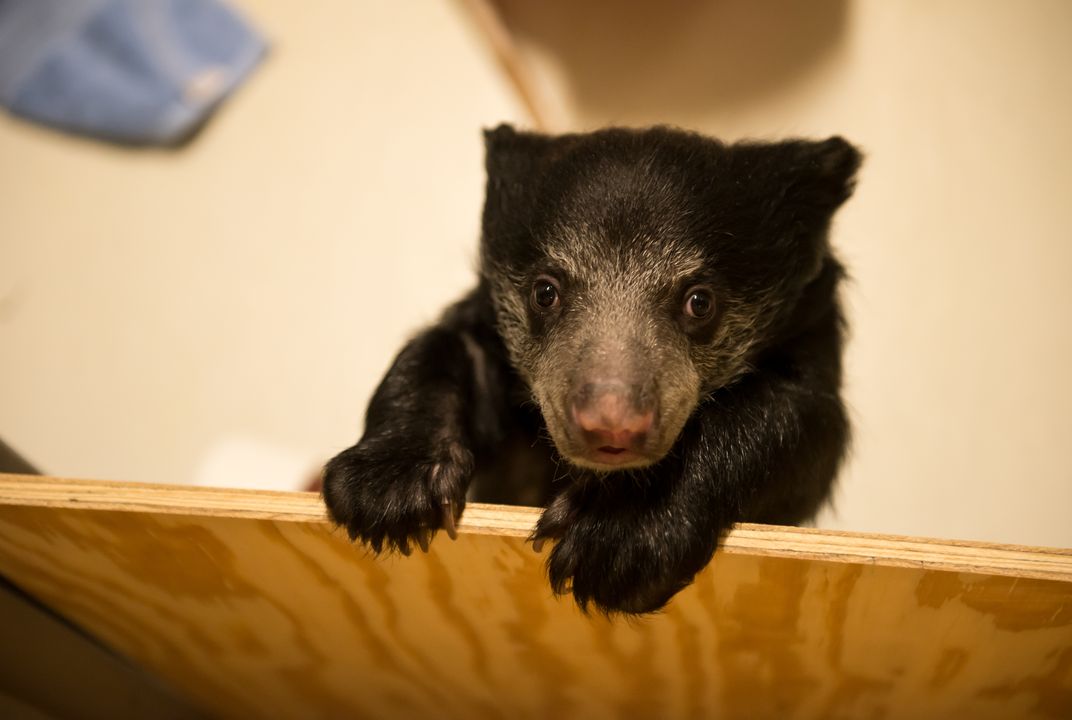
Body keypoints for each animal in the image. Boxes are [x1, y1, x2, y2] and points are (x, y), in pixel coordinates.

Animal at [323, 124, 861, 615]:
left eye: (700, 301)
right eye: (544, 291)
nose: (612, 425)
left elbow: (799, 419)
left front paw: (616, 535)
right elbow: (443, 346)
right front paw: (386, 491)